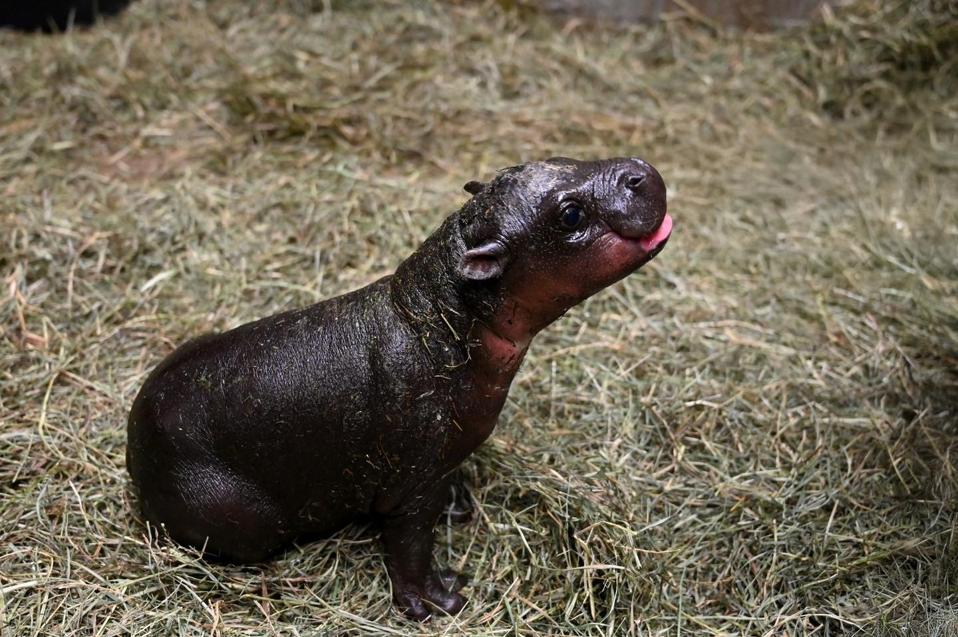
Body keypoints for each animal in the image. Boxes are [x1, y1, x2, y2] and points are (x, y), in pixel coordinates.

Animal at [126, 156, 672, 620]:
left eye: (558, 157)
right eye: (570, 214)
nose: (639, 169)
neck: (443, 314)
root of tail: (134, 448)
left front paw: (459, 505)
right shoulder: (411, 486)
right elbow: (410, 548)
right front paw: (441, 601)